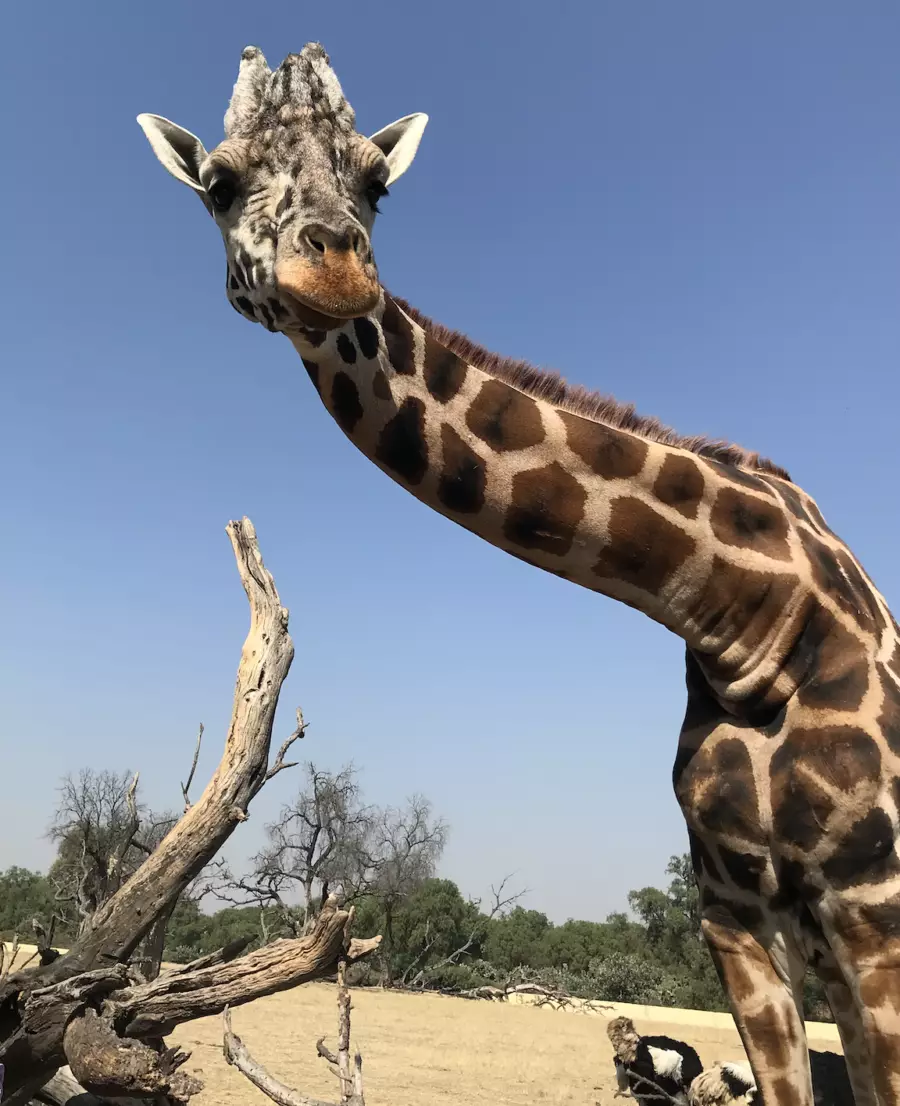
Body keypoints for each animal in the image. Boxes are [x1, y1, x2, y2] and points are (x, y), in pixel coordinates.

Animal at [137, 40, 900, 1097]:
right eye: (217, 181)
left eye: (376, 183)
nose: (336, 270)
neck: (748, 618)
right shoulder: (735, 914)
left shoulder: (871, 905)